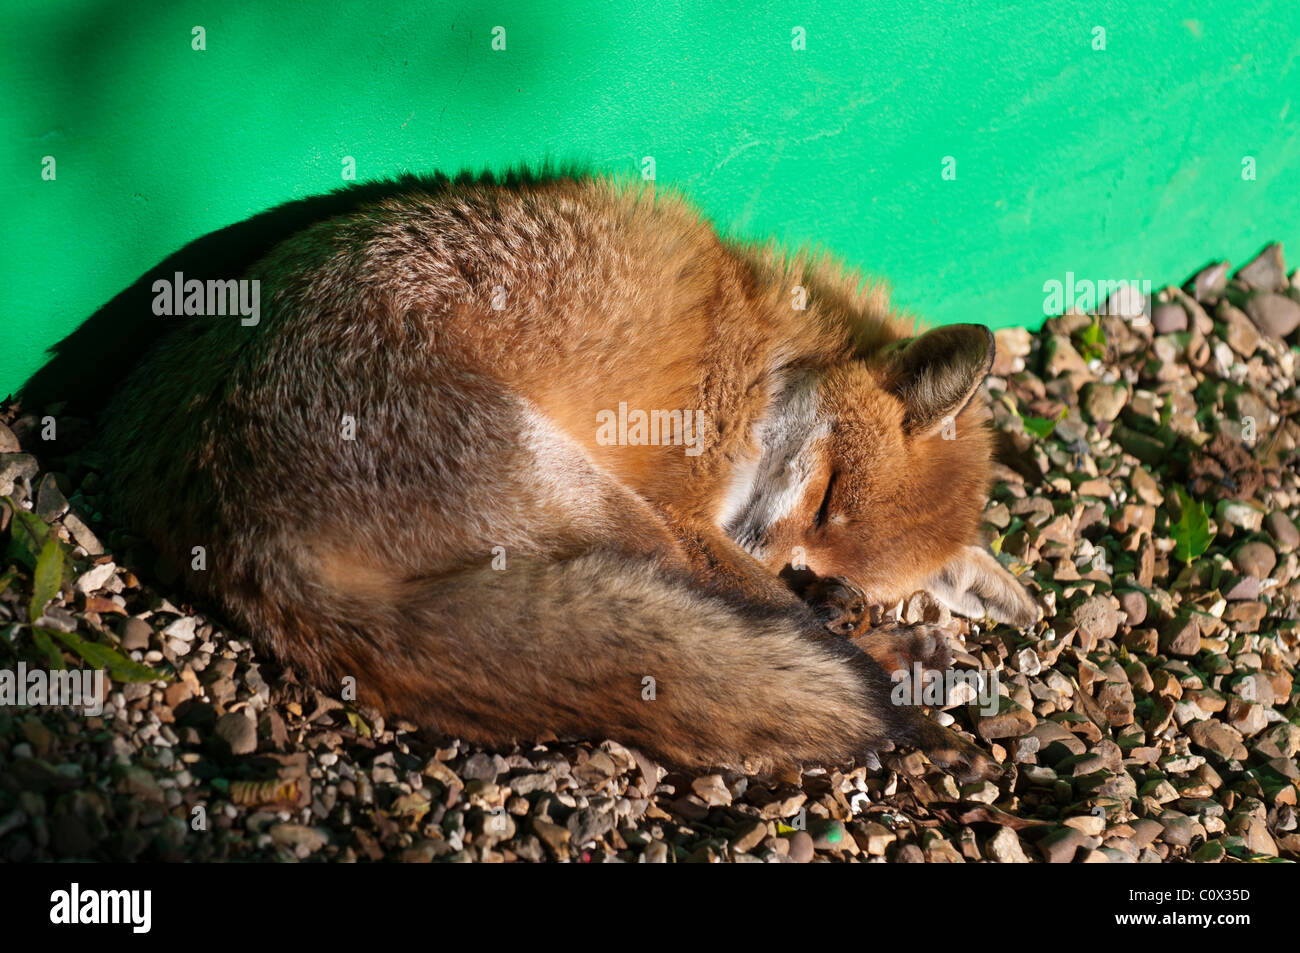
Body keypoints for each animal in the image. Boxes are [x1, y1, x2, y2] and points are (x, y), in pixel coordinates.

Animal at [87, 171, 1039, 782]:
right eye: (831, 491)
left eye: (829, 546)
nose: (798, 568)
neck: (763, 341)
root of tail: (239, 526)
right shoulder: (689, 510)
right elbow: (766, 600)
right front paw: (859, 637)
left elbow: (780, 600)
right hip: (618, 511)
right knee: (737, 618)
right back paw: (890, 664)